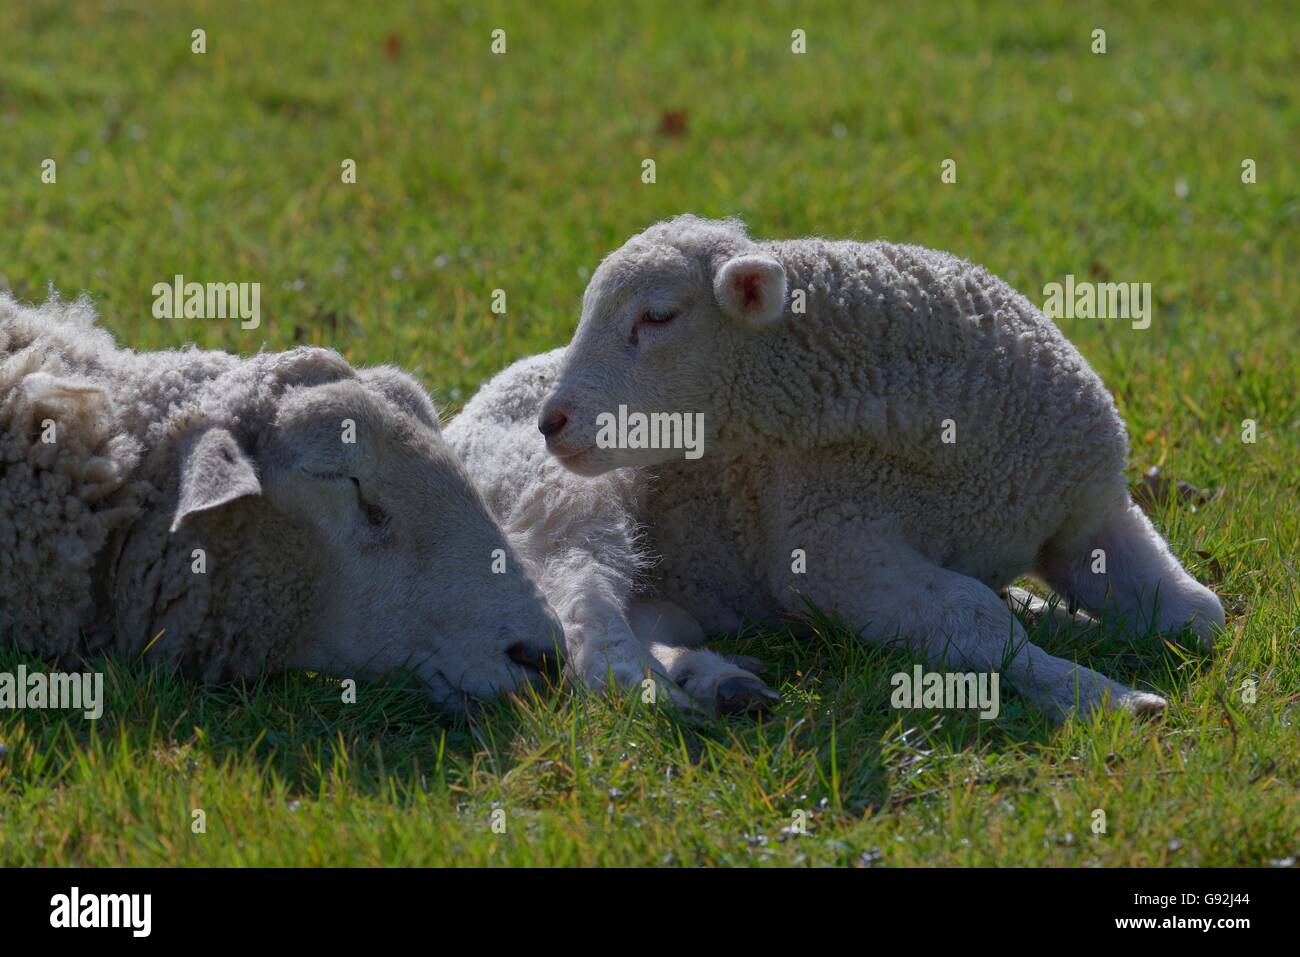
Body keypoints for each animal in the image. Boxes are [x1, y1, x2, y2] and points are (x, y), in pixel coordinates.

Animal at [459, 215, 1226, 720]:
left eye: (657, 316)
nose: (553, 422)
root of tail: (463, 417)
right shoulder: (829, 551)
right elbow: (976, 617)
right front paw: (1101, 695)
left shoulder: (1091, 512)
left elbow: (1201, 615)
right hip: (560, 502)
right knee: (584, 612)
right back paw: (649, 689)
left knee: (649, 614)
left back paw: (718, 681)